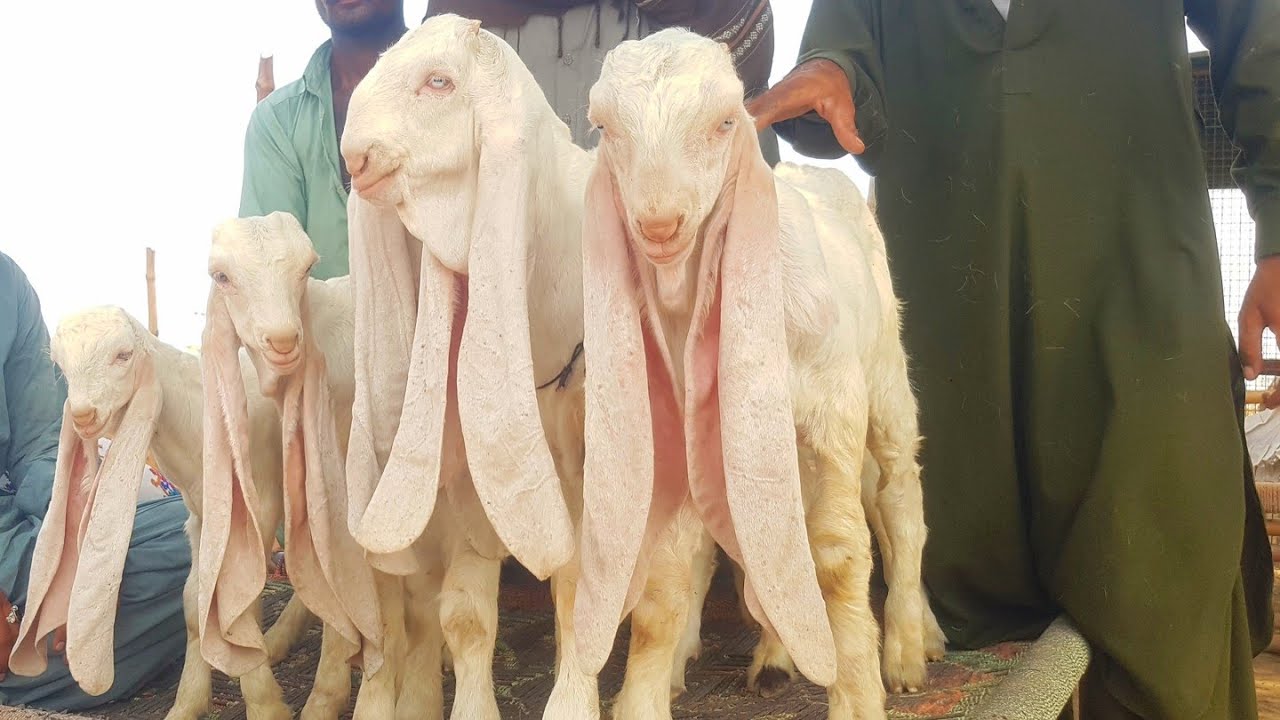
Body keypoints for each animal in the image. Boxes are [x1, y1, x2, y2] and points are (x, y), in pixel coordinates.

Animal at [573, 29, 943, 719]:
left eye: (724, 122)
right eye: (605, 127)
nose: (659, 225)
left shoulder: (831, 411)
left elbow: (838, 557)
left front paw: (857, 690)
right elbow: (667, 578)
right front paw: (643, 695)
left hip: (882, 374)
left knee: (899, 492)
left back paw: (909, 642)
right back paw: (776, 656)